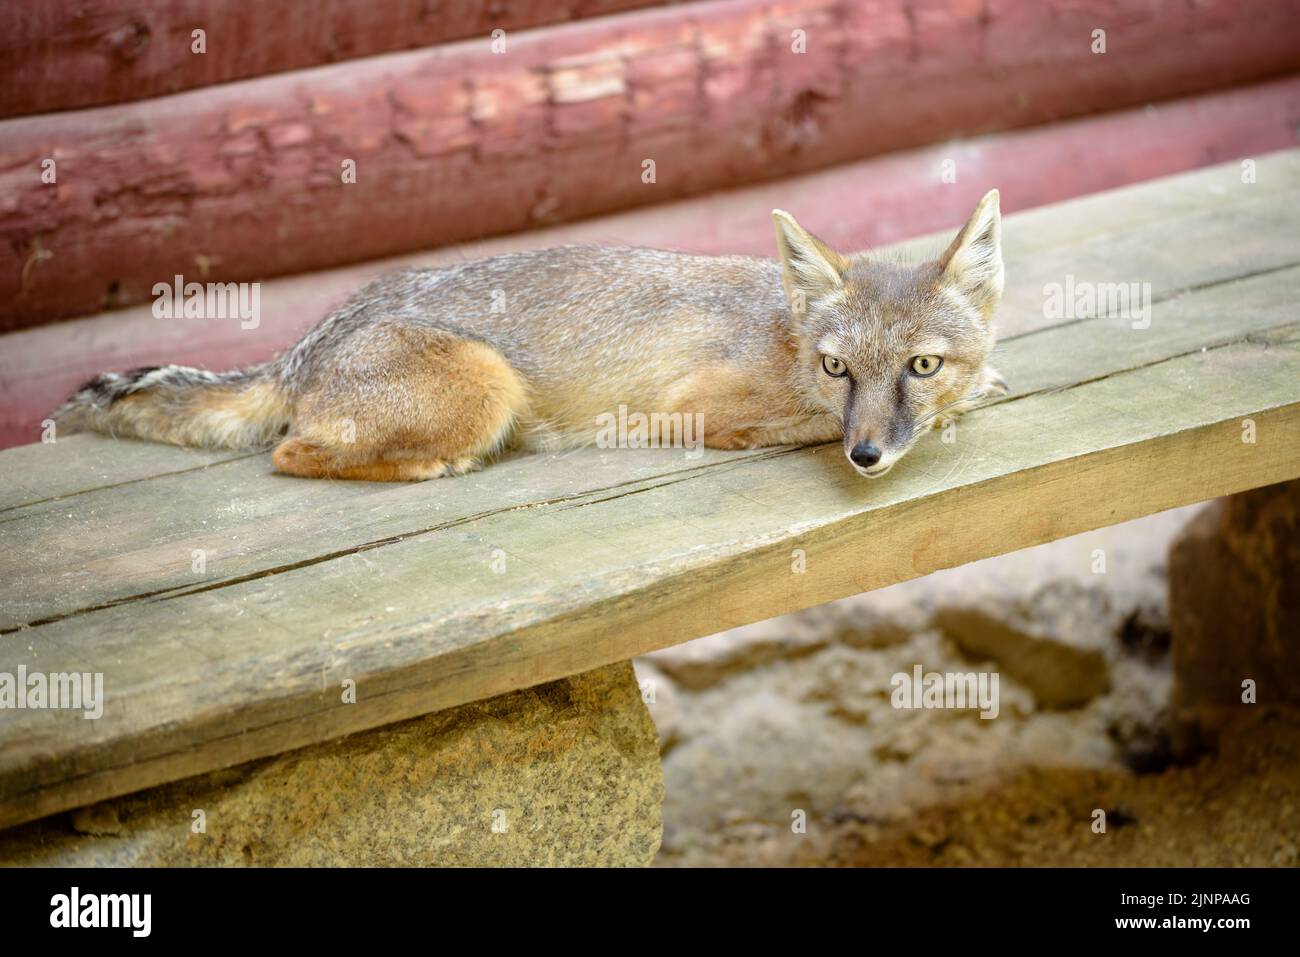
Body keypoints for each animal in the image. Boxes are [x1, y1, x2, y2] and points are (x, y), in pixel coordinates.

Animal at [54, 190, 1007, 482]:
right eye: (836, 368)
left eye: (922, 363)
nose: (866, 456)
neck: (778, 334)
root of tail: (310, 340)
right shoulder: (704, 408)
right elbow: (800, 423)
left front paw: (977, 389)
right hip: (487, 389)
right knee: (291, 452)